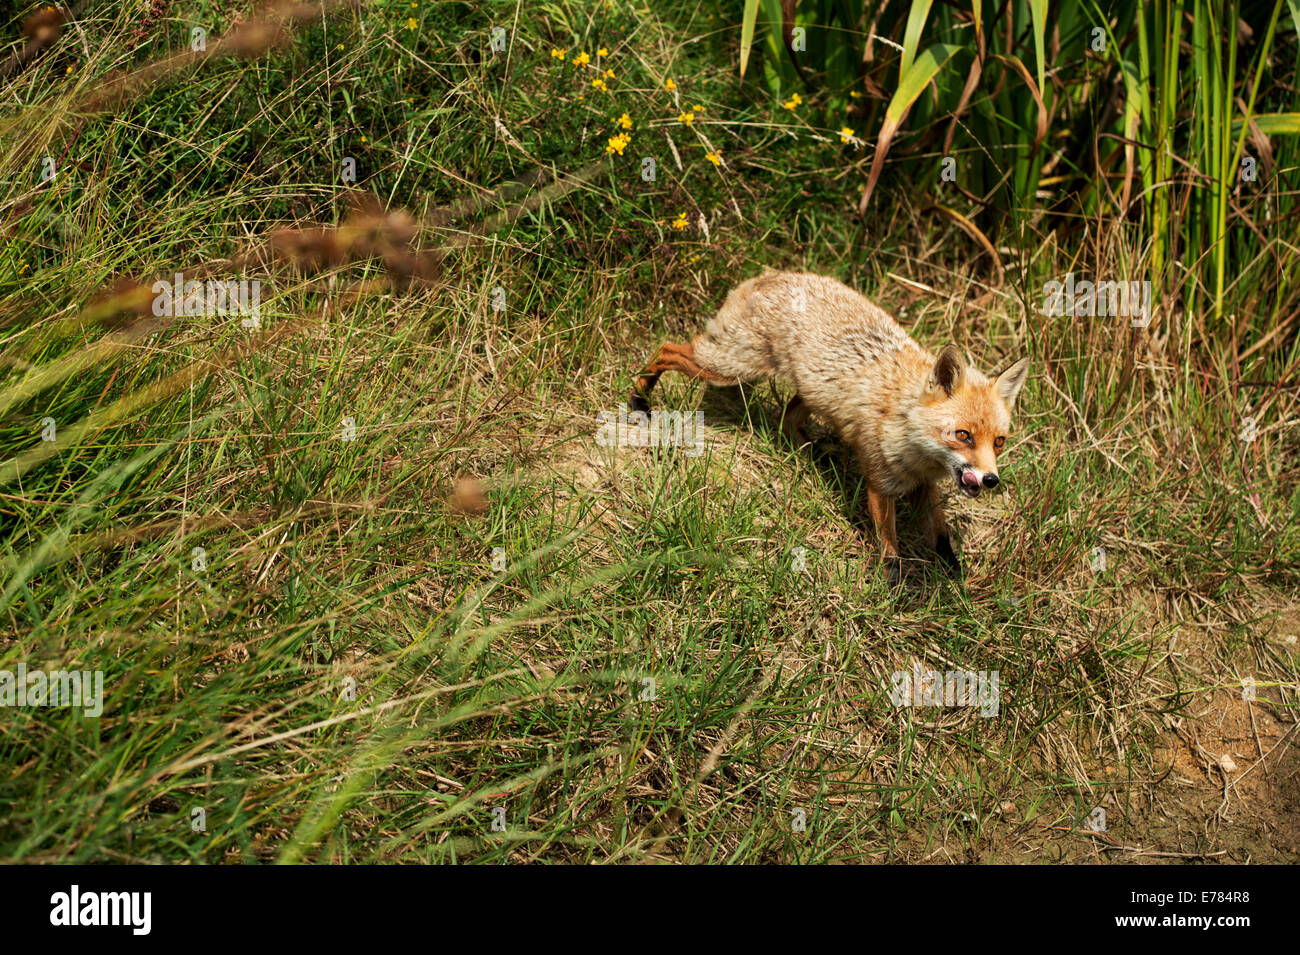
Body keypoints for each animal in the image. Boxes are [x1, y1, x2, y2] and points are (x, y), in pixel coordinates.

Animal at [628, 271, 1029, 581]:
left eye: (998, 441)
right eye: (963, 435)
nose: (991, 480)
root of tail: (766, 275)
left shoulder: (923, 487)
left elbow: (942, 538)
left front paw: (955, 578)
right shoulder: (881, 485)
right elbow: (890, 549)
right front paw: (892, 590)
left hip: (803, 391)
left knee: (787, 420)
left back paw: (815, 455)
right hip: (726, 368)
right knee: (666, 348)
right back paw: (639, 398)